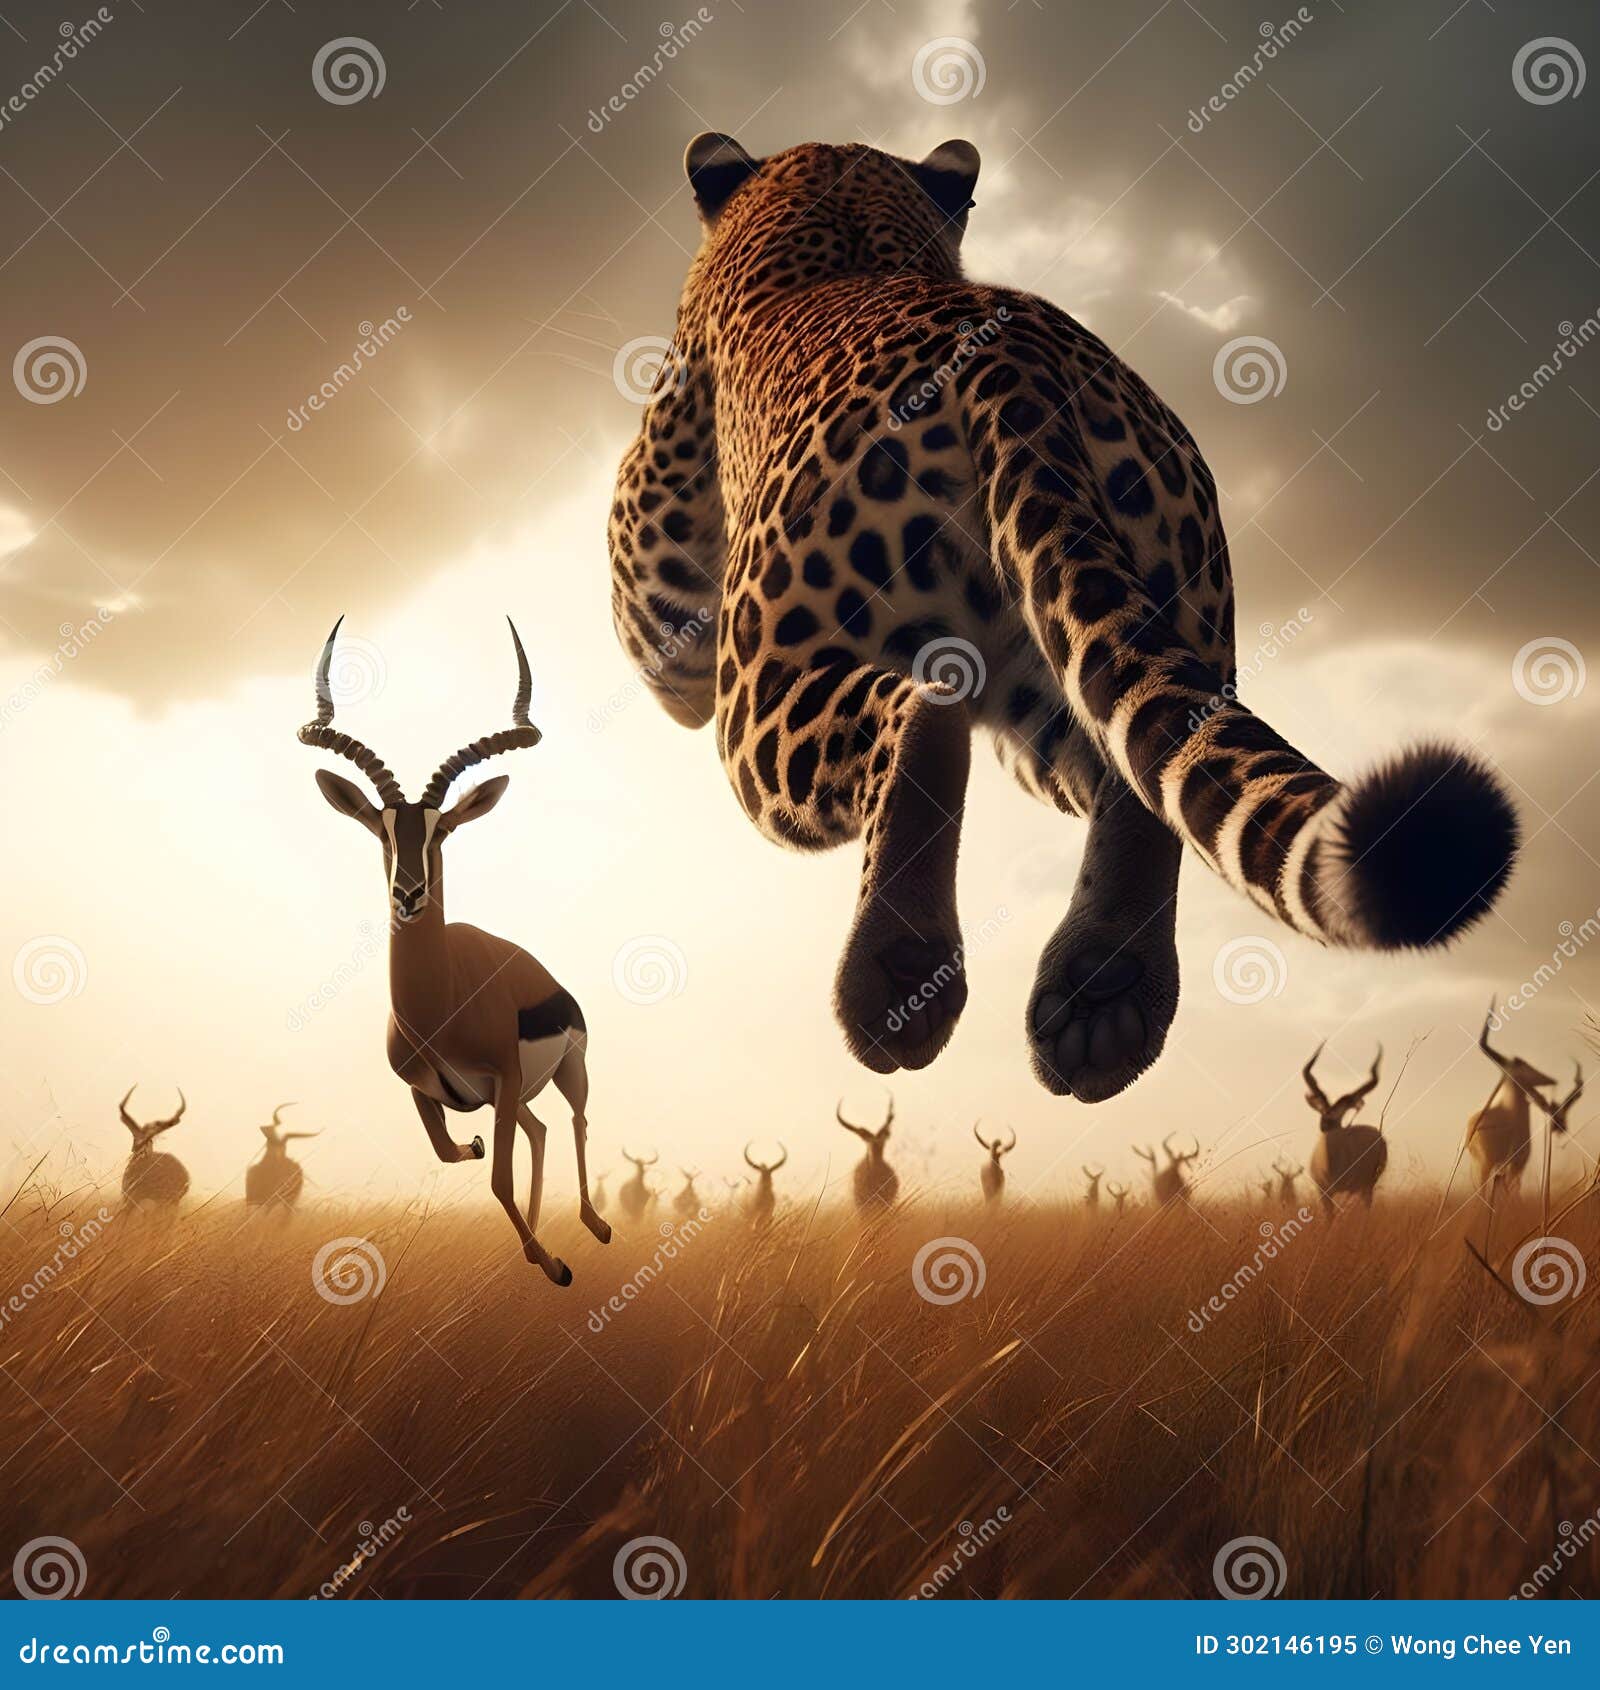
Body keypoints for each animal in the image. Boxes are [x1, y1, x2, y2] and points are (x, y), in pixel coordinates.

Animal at [300, 617, 609, 1286]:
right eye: (381, 829)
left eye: (441, 829)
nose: (409, 894)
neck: (440, 1010)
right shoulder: (429, 1089)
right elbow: (452, 1154)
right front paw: (478, 1153)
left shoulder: (505, 1076)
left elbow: (497, 1180)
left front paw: (555, 1265)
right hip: (513, 1097)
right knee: (540, 1129)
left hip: (569, 1069)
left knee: (575, 1121)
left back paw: (594, 1228)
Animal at [607, 133, 1518, 1102]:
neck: (842, 209)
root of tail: (1016, 365)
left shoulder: (657, 509)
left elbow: (659, 645)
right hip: (1101, 642)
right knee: (1143, 776)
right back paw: (1103, 1000)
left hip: (769, 690)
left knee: (919, 713)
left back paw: (900, 970)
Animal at [1304, 1043, 1387, 1214]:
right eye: (1322, 1110)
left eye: (1342, 1112)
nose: (1325, 1124)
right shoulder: (1323, 1192)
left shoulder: (1353, 1189)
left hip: (1366, 1187)